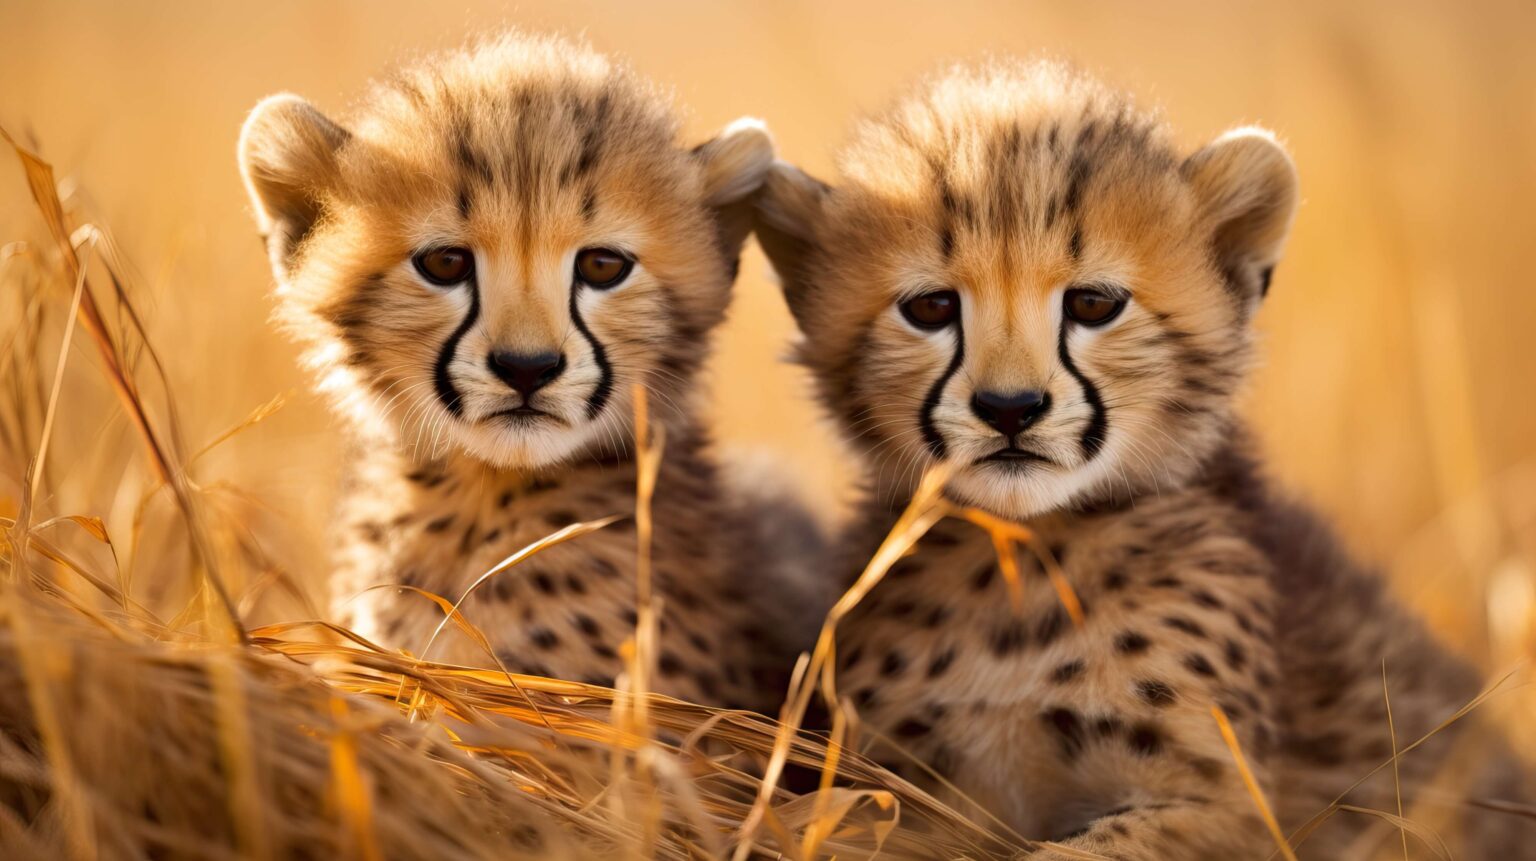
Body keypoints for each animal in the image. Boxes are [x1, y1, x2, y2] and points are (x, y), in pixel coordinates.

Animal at [753, 60, 1534, 858]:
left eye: (1094, 304)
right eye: (932, 308)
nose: (1010, 408)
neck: (1022, 565)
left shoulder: (1229, 808)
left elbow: (1085, 848)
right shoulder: (896, 788)